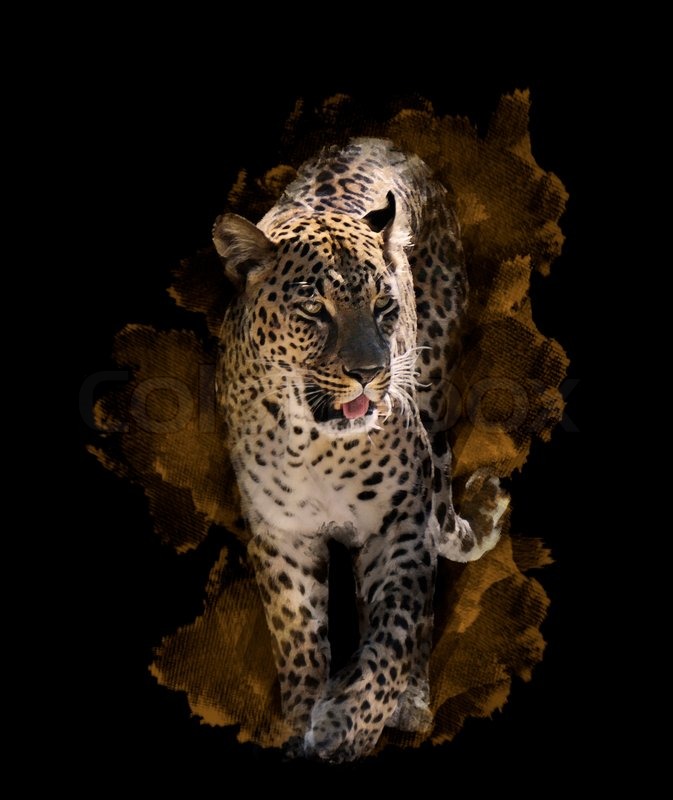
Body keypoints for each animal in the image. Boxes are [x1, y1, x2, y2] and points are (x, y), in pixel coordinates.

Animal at [213, 137, 507, 762]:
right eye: (313, 310)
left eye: (383, 306)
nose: (370, 373)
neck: (316, 447)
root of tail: (379, 142)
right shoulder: (282, 535)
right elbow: (298, 644)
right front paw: (303, 719)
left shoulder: (400, 526)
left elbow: (393, 637)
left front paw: (350, 725)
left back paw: (412, 701)